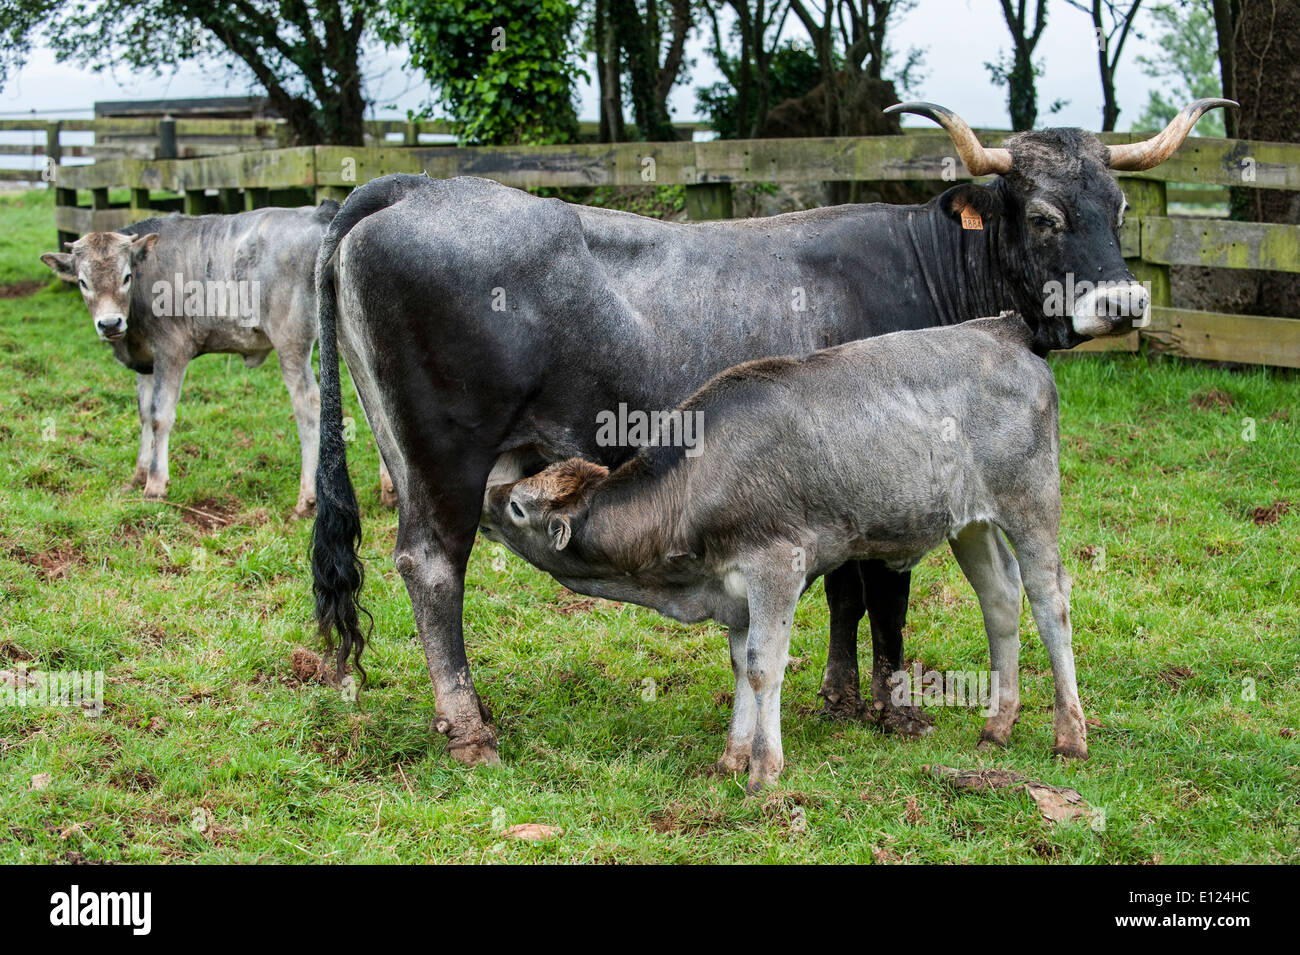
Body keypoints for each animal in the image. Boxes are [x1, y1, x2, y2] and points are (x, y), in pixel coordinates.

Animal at [39, 204, 396, 516]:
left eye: (126, 276)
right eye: (83, 282)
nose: (110, 323)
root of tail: (324, 213)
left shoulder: (172, 350)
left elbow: (159, 416)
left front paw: (154, 485)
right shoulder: (146, 362)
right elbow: (143, 414)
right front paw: (138, 475)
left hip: (291, 341)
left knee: (308, 406)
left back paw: (306, 499)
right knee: (372, 402)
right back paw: (390, 490)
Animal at [479, 312, 1079, 792]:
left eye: (518, 508)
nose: (487, 499)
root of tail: (1002, 329)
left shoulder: (775, 566)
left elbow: (764, 666)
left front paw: (764, 772)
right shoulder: (735, 589)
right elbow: (740, 665)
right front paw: (731, 758)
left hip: (1031, 500)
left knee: (1050, 601)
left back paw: (1069, 737)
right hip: (970, 522)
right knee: (1000, 598)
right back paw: (997, 727)